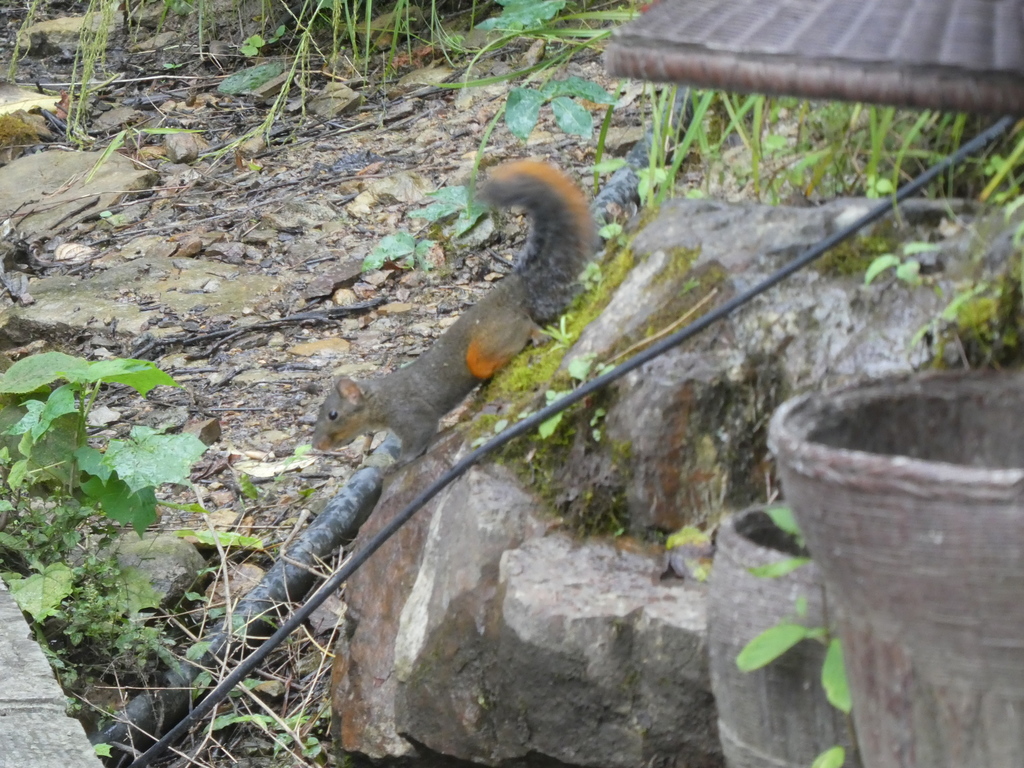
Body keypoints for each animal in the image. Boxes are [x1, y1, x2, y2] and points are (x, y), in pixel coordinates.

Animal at [312, 160, 597, 465]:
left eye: (333, 415)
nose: (317, 445)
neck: (381, 400)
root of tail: (512, 292)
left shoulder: (411, 415)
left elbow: (418, 438)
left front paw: (401, 462)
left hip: (488, 345)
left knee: (523, 325)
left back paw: (536, 335)